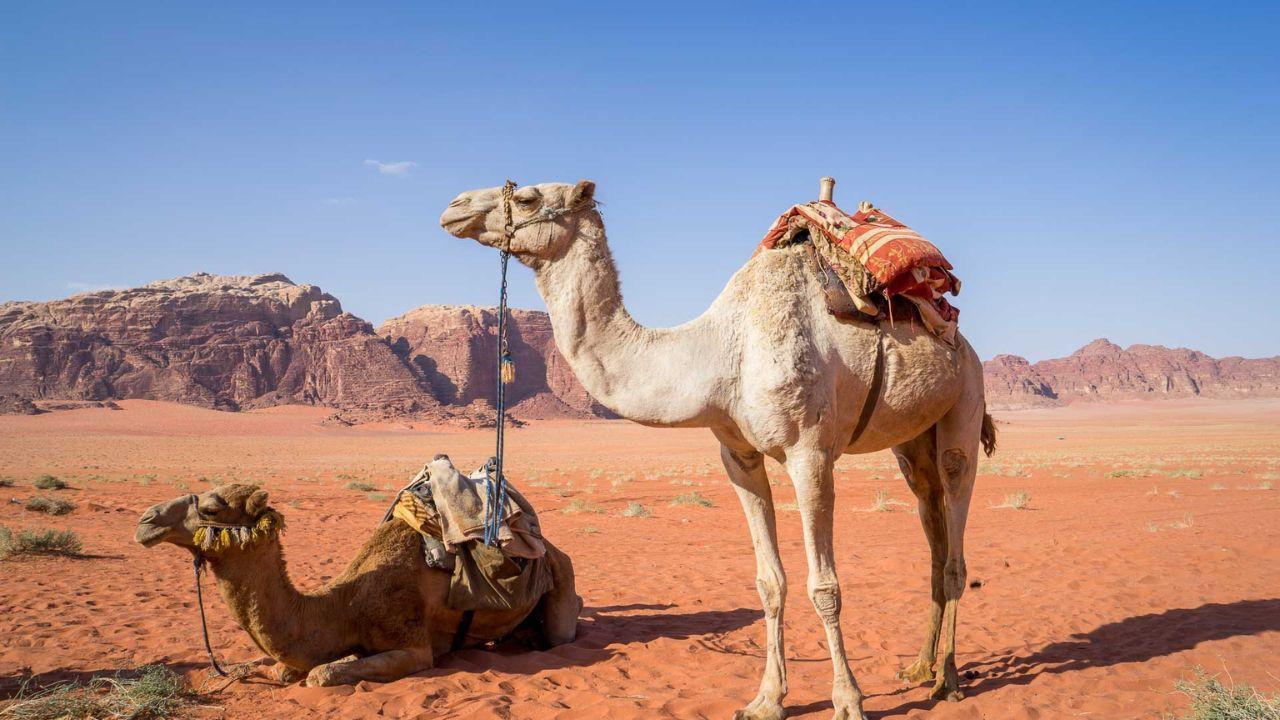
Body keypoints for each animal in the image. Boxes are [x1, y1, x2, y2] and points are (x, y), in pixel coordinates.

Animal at [134, 477, 581, 686]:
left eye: (211, 508)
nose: (147, 521)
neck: (344, 605)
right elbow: (282, 668)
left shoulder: (415, 648)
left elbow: (321, 674)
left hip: (561, 573)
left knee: (563, 629)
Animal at [440, 180, 996, 720]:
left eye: (528, 197)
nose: (454, 207)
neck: (722, 353)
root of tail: (958, 336)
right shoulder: (739, 458)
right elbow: (770, 582)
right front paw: (767, 700)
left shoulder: (809, 453)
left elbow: (824, 586)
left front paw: (848, 701)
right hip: (911, 440)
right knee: (931, 525)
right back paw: (919, 667)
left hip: (965, 401)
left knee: (955, 540)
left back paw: (947, 679)